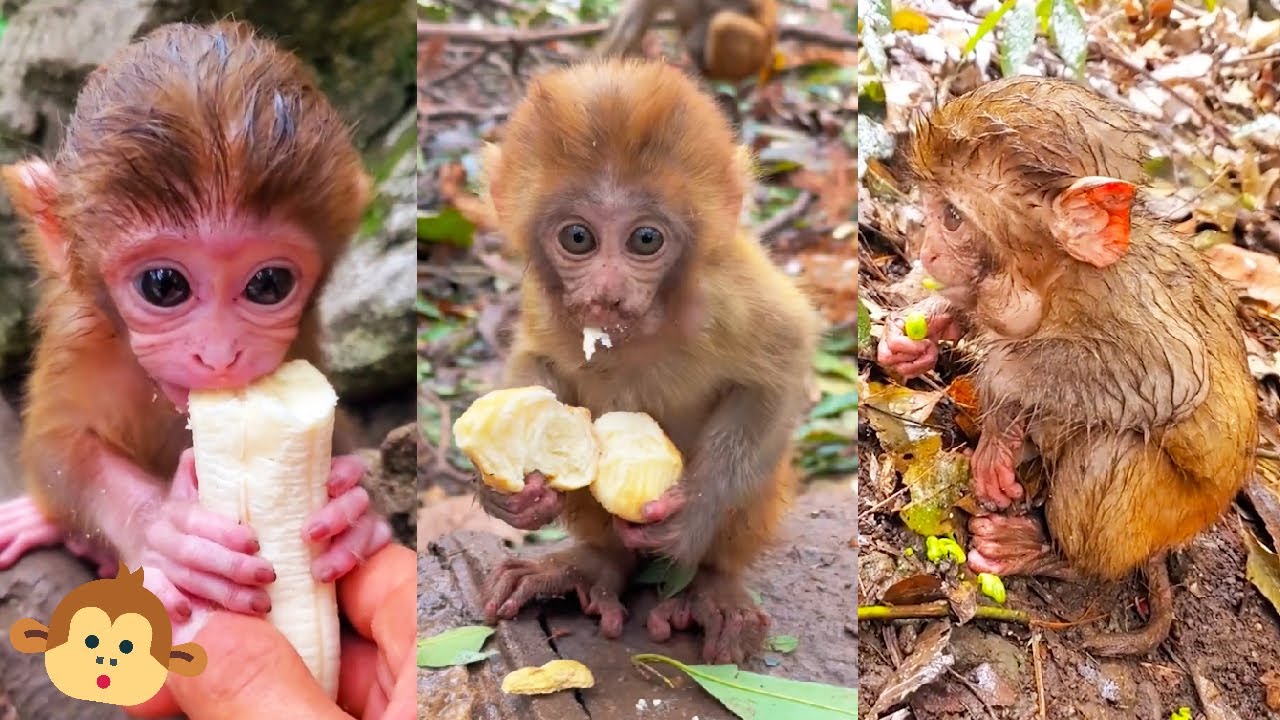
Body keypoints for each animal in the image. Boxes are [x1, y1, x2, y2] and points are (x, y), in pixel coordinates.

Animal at [0, 21, 392, 625]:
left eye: (268, 284)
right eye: (164, 286)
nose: (220, 353)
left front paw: (355, 512)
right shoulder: (82, 339)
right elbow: (56, 450)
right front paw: (163, 530)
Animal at [472, 58, 821, 664]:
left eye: (646, 239)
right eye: (579, 238)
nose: (607, 294)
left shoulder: (726, 289)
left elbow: (782, 366)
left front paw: (689, 517)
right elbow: (537, 361)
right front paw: (513, 499)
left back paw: (709, 589)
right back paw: (593, 566)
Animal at [876, 76, 1258, 656]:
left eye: (953, 217)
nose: (927, 252)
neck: (1059, 278)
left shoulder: (1122, 298)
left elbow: (1170, 378)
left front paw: (1000, 397)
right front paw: (916, 334)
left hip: (1164, 516)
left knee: (1108, 449)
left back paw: (1052, 556)